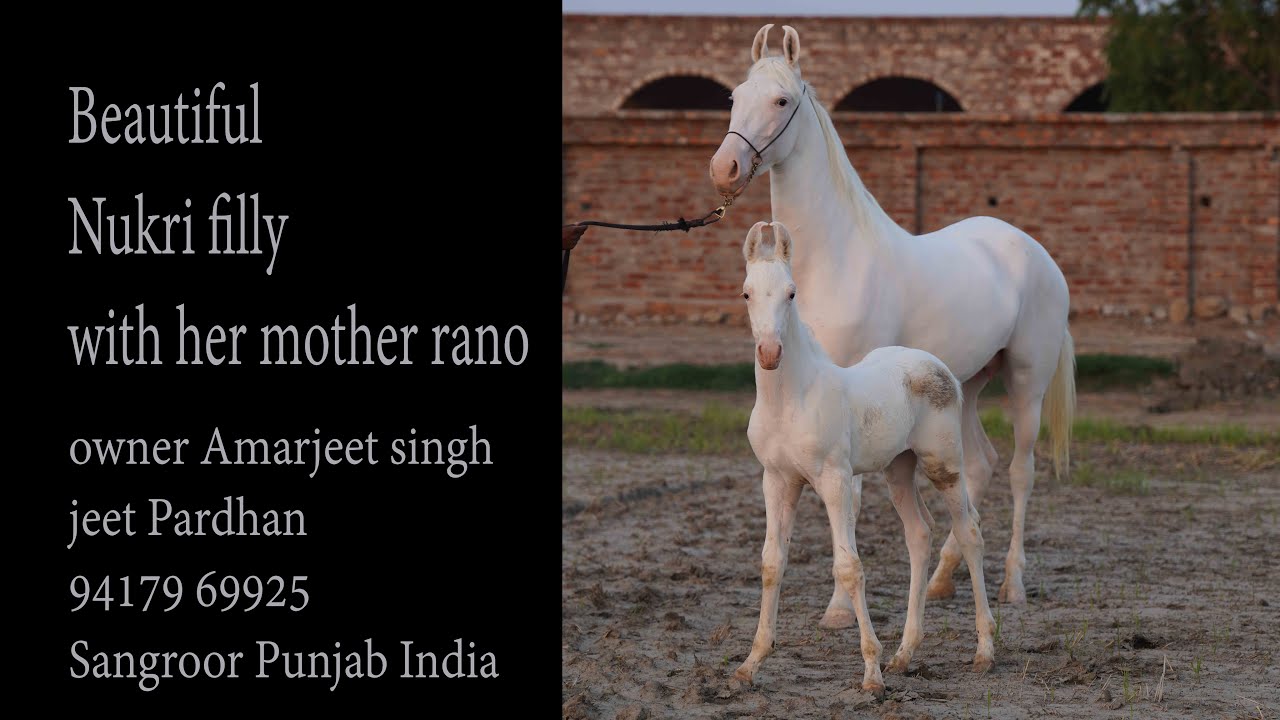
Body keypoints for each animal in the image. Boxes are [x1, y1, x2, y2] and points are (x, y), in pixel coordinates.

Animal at [709, 24, 1075, 617]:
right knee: (980, 465)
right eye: (735, 97)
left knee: (1022, 470)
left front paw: (839, 608)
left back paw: (1012, 583)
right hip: (968, 386)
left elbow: (852, 498)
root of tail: (1034, 251)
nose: (725, 169)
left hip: (1027, 382)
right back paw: (943, 577)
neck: (834, 259)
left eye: (781, 100)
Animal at [735, 221, 995, 694]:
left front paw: (871, 673)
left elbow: (848, 566)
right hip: (898, 470)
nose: (769, 353)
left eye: (792, 293)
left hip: (943, 464)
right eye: (746, 293)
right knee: (920, 533)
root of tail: (942, 369)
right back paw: (905, 654)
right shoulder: (777, 480)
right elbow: (771, 563)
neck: (791, 398)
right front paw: (750, 664)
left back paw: (984, 651)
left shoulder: (834, 480)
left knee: (969, 532)